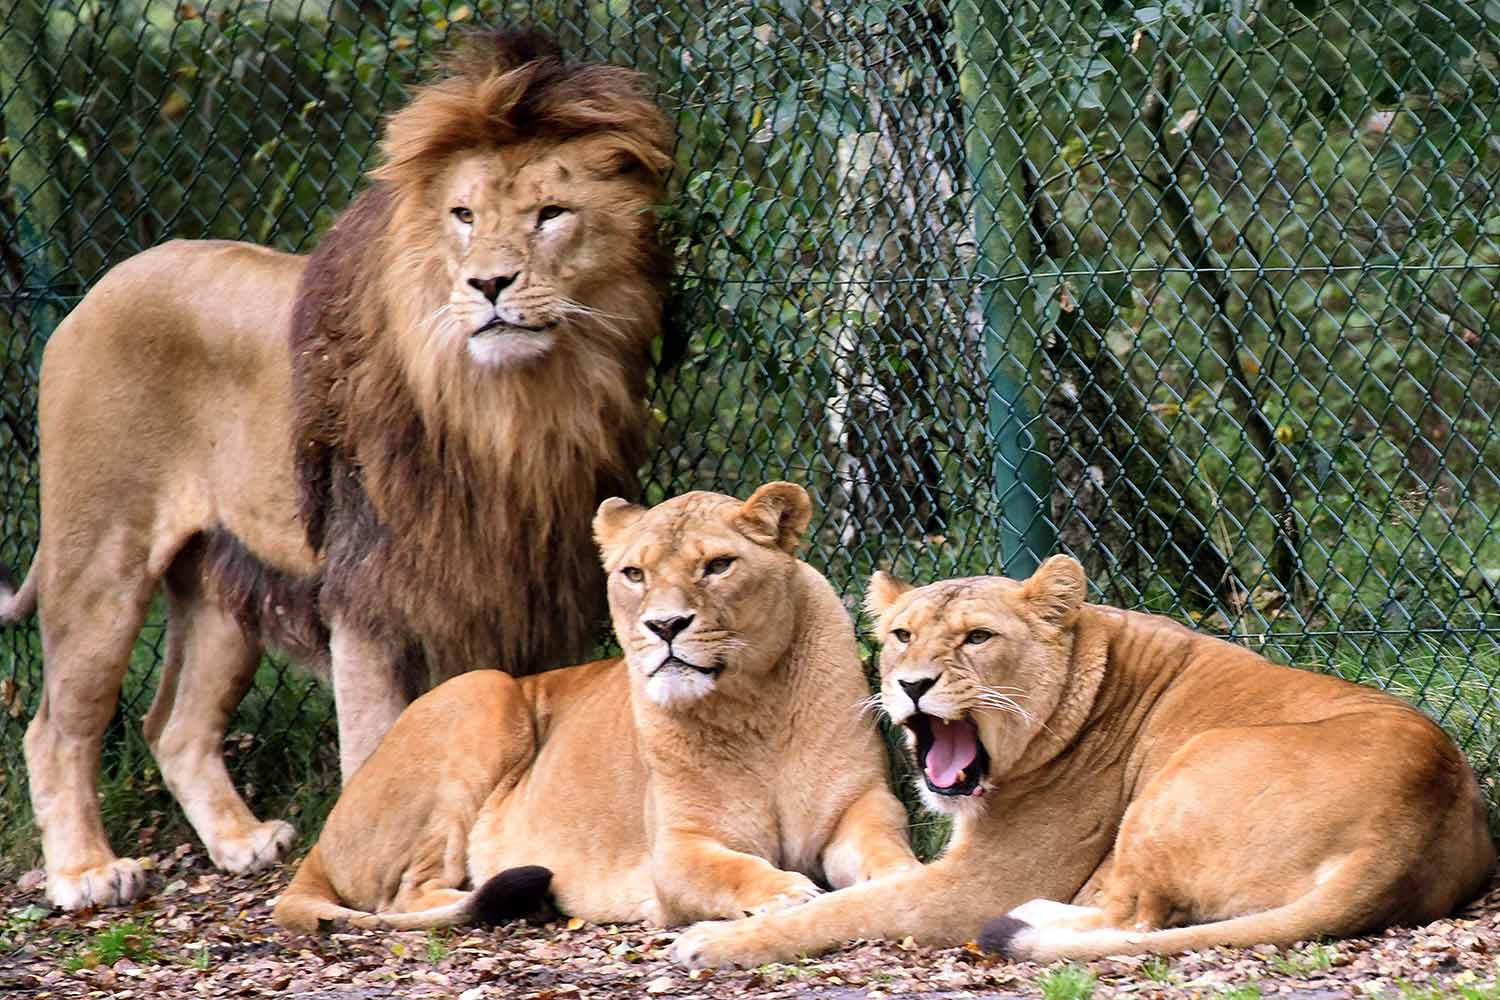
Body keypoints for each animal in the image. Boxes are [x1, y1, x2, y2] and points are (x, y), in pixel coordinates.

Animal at [0, 29, 674, 912]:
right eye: (463, 216)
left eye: (550, 215)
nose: (488, 284)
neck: (508, 410)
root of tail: (95, 289)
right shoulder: (369, 591)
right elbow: (380, 743)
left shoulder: (514, 589)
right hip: (101, 558)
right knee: (57, 728)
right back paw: (85, 873)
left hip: (221, 584)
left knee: (172, 725)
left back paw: (241, 842)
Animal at [270, 483, 919, 932]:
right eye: (633, 574)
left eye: (718, 566)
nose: (665, 626)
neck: (751, 704)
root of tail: (323, 838)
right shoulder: (675, 847)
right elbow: (731, 869)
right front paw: (786, 893)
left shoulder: (861, 806)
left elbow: (885, 848)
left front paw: (907, 880)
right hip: (483, 688)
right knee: (406, 895)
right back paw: (531, 898)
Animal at [672, 555, 1495, 967]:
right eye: (902, 636)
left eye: (976, 638)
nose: (911, 685)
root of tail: (1408, 825)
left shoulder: (979, 883)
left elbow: (845, 908)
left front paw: (717, 940)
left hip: (1189, 762)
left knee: (1135, 917)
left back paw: (1031, 917)